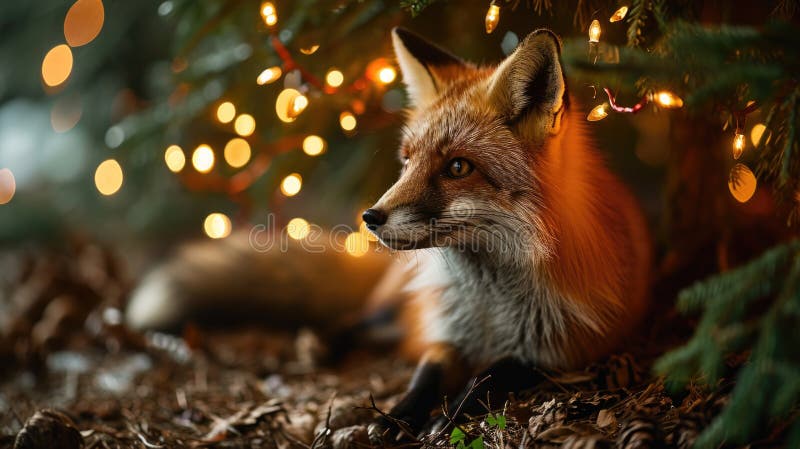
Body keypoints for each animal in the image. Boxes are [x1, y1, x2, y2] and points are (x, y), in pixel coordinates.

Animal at [127, 27, 651, 442]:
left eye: (458, 167)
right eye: (407, 160)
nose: (370, 217)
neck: (492, 307)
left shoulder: (561, 352)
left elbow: (487, 379)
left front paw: (448, 417)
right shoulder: (443, 330)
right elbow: (425, 374)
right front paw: (397, 417)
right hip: (399, 305)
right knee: (363, 319)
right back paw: (323, 344)